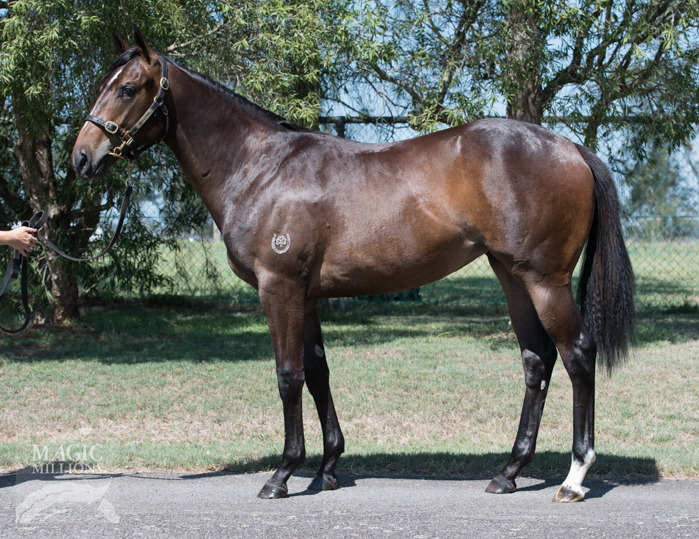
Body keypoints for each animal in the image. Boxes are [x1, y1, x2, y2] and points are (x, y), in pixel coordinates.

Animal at [72, 27, 635, 503]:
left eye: (128, 89)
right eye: (104, 85)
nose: (81, 157)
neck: (261, 168)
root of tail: (571, 147)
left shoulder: (278, 289)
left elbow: (288, 376)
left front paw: (282, 475)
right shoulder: (306, 296)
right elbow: (318, 373)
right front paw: (328, 468)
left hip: (545, 280)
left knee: (578, 355)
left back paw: (574, 478)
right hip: (511, 276)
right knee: (537, 360)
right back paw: (509, 473)